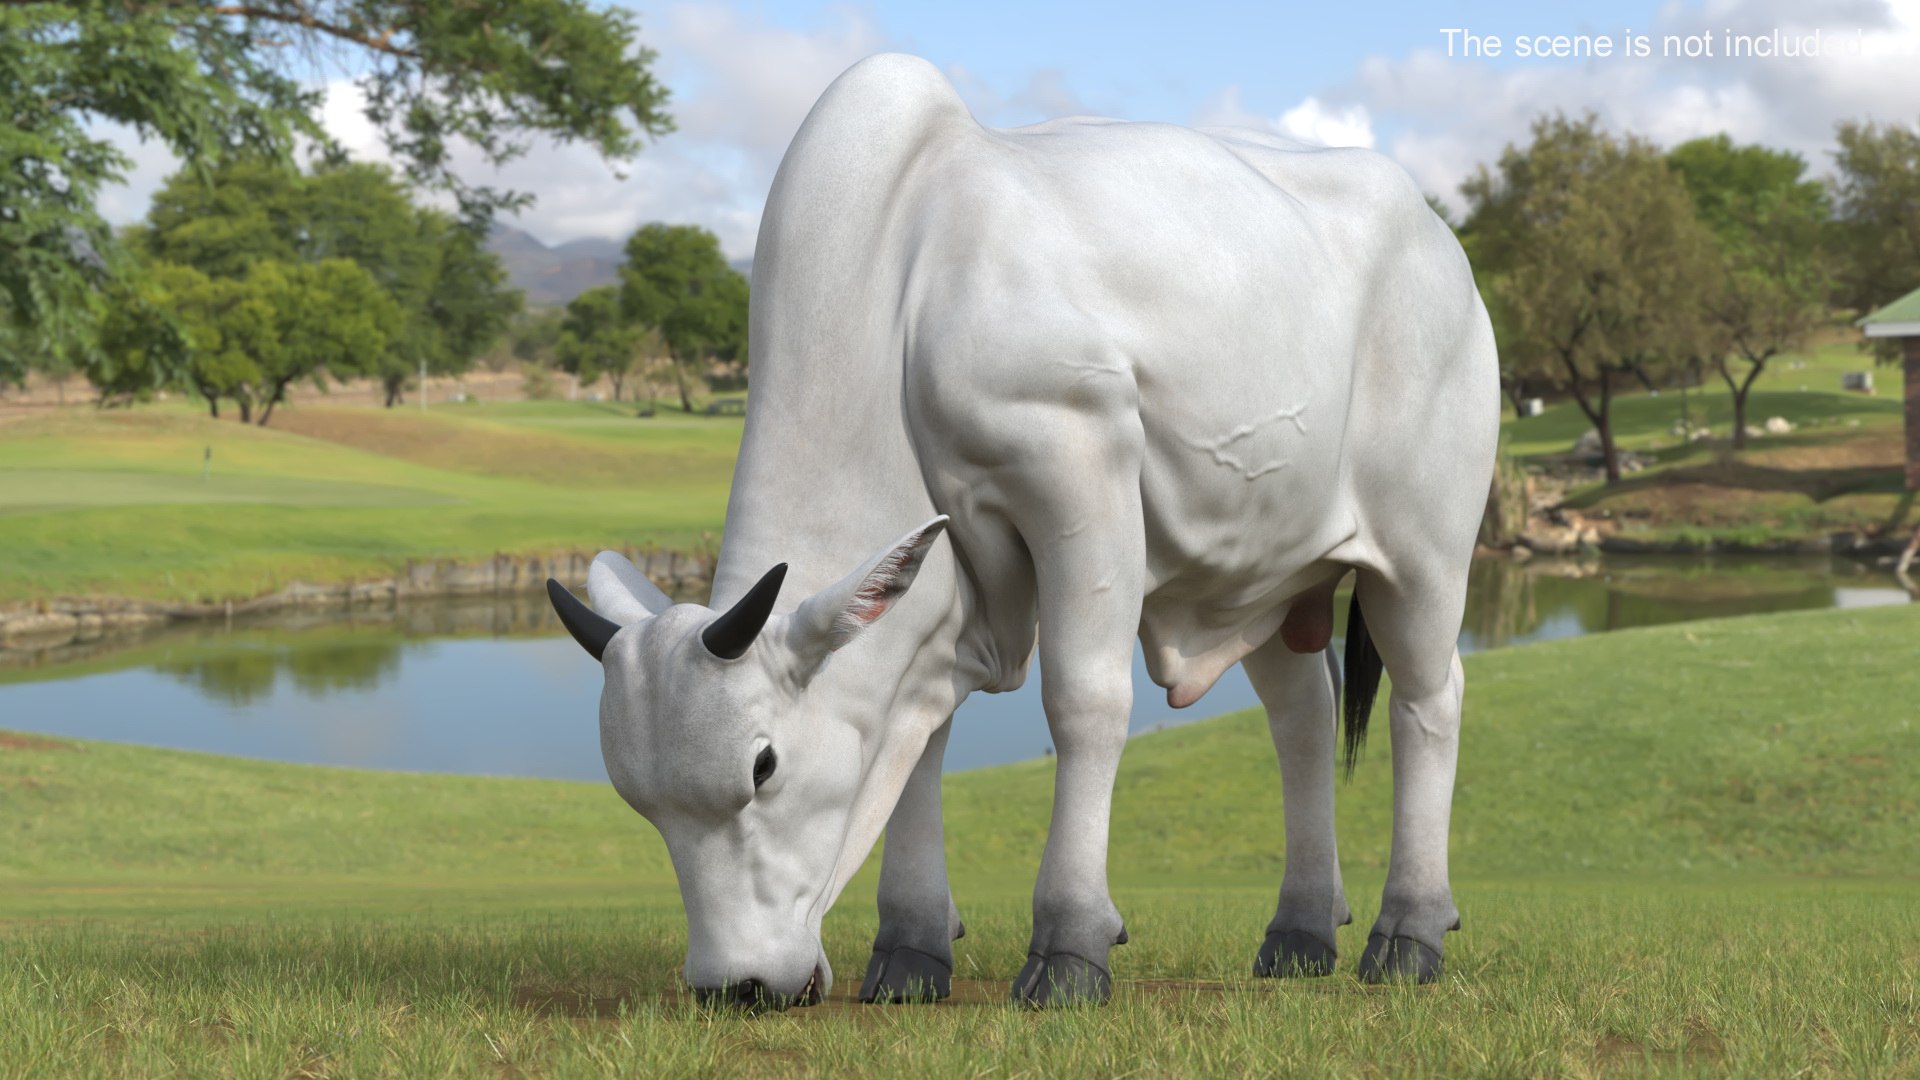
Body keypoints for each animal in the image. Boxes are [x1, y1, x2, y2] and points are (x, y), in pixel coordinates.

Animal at [546, 53, 1499, 1009]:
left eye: (763, 767)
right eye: (639, 801)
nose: (732, 985)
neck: (896, 292)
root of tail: (1437, 233)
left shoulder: (1078, 467)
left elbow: (1084, 703)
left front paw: (1071, 944)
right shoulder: (938, 589)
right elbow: (925, 740)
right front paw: (911, 947)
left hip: (1423, 555)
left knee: (1430, 699)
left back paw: (1409, 933)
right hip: (1263, 563)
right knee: (1303, 714)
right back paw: (1300, 932)